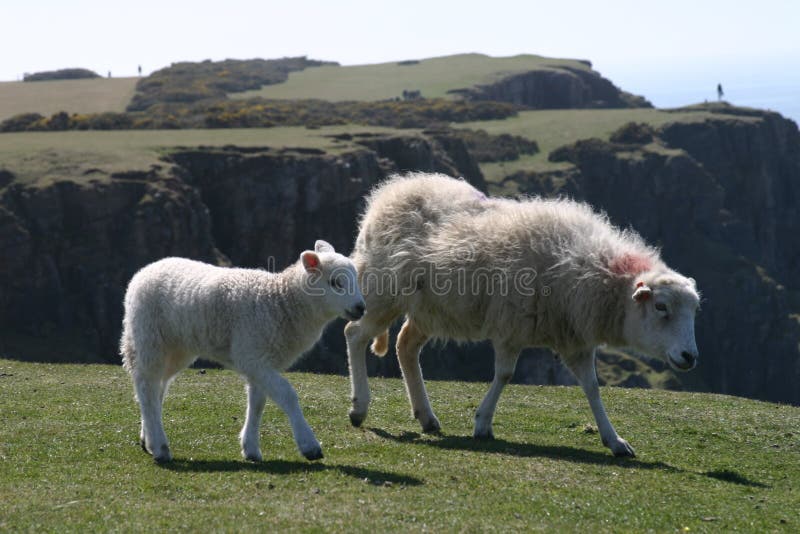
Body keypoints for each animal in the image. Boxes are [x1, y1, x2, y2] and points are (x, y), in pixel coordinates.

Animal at [121, 240, 366, 463]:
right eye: (335, 283)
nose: (361, 308)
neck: (282, 303)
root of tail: (146, 270)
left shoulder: (261, 361)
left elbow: (257, 403)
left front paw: (251, 448)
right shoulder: (252, 356)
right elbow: (287, 395)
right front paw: (309, 445)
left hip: (177, 347)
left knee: (158, 386)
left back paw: (147, 438)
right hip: (148, 336)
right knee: (146, 385)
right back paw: (160, 447)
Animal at [344, 173, 700, 457]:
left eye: (695, 310)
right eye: (661, 307)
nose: (690, 357)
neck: (594, 274)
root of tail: (393, 190)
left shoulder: (574, 339)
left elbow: (592, 388)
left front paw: (614, 440)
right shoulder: (511, 326)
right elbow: (505, 375)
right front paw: (482, 423)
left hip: (429, 308)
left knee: (405, 346)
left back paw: (426, 417)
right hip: (382, 291)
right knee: (355, 334)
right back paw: (360, 407)